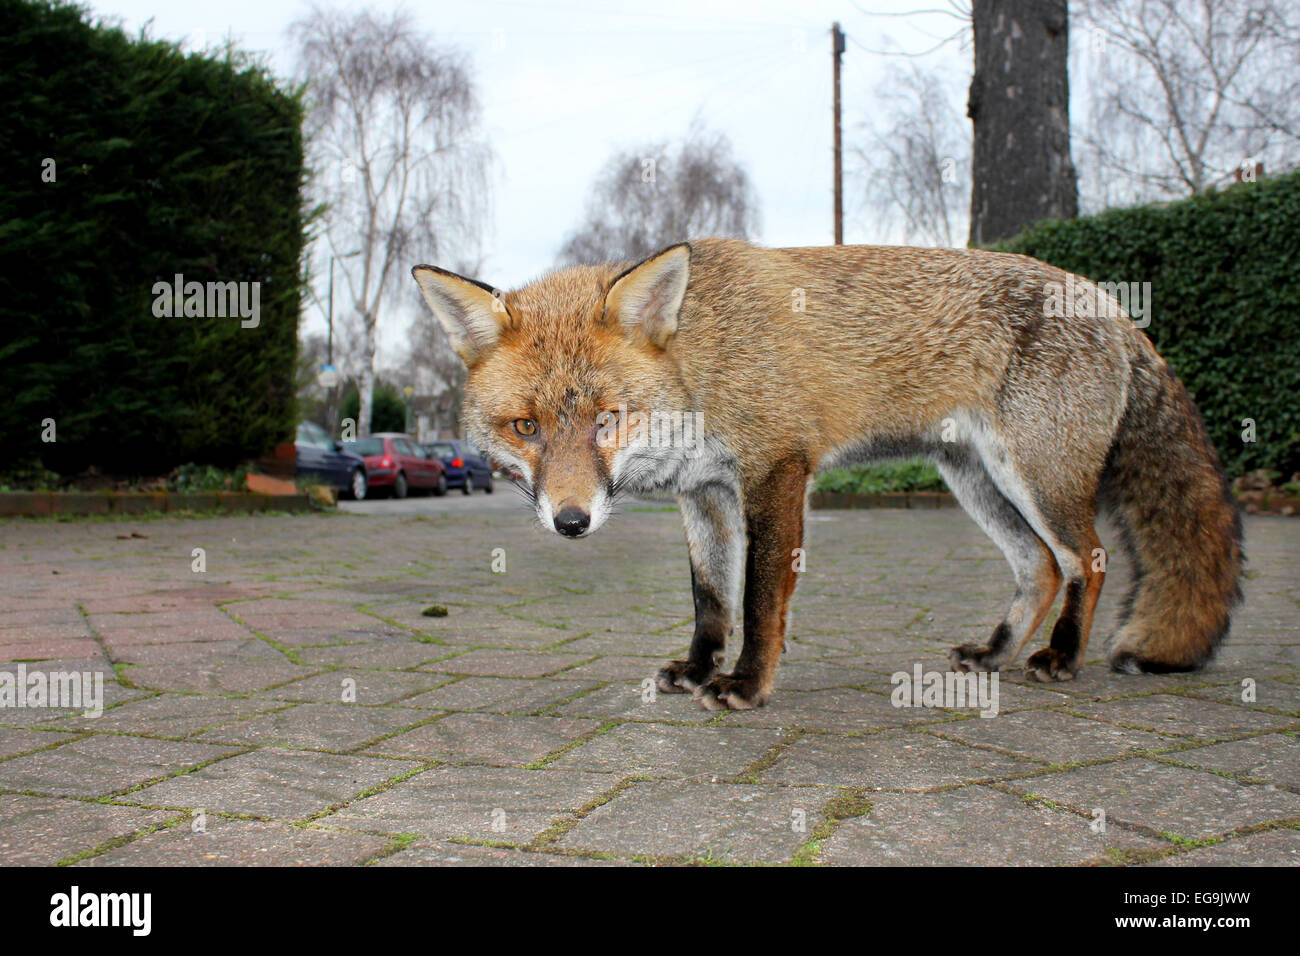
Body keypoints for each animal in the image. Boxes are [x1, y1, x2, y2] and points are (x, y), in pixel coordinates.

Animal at [411, 238, 1243, 711]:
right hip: (974, 481)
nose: (571, 520)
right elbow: (711, 600)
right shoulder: (703, 492)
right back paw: (995, 654)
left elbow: (759, 602)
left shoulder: (777, 468)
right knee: (1039, 567)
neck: (702, 360)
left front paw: (746, 686)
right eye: (526, 427)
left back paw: (1063, 658)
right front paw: (698, 669)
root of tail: (1114, 303)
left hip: (1035, 477)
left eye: (606, 420)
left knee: (1088, 560)